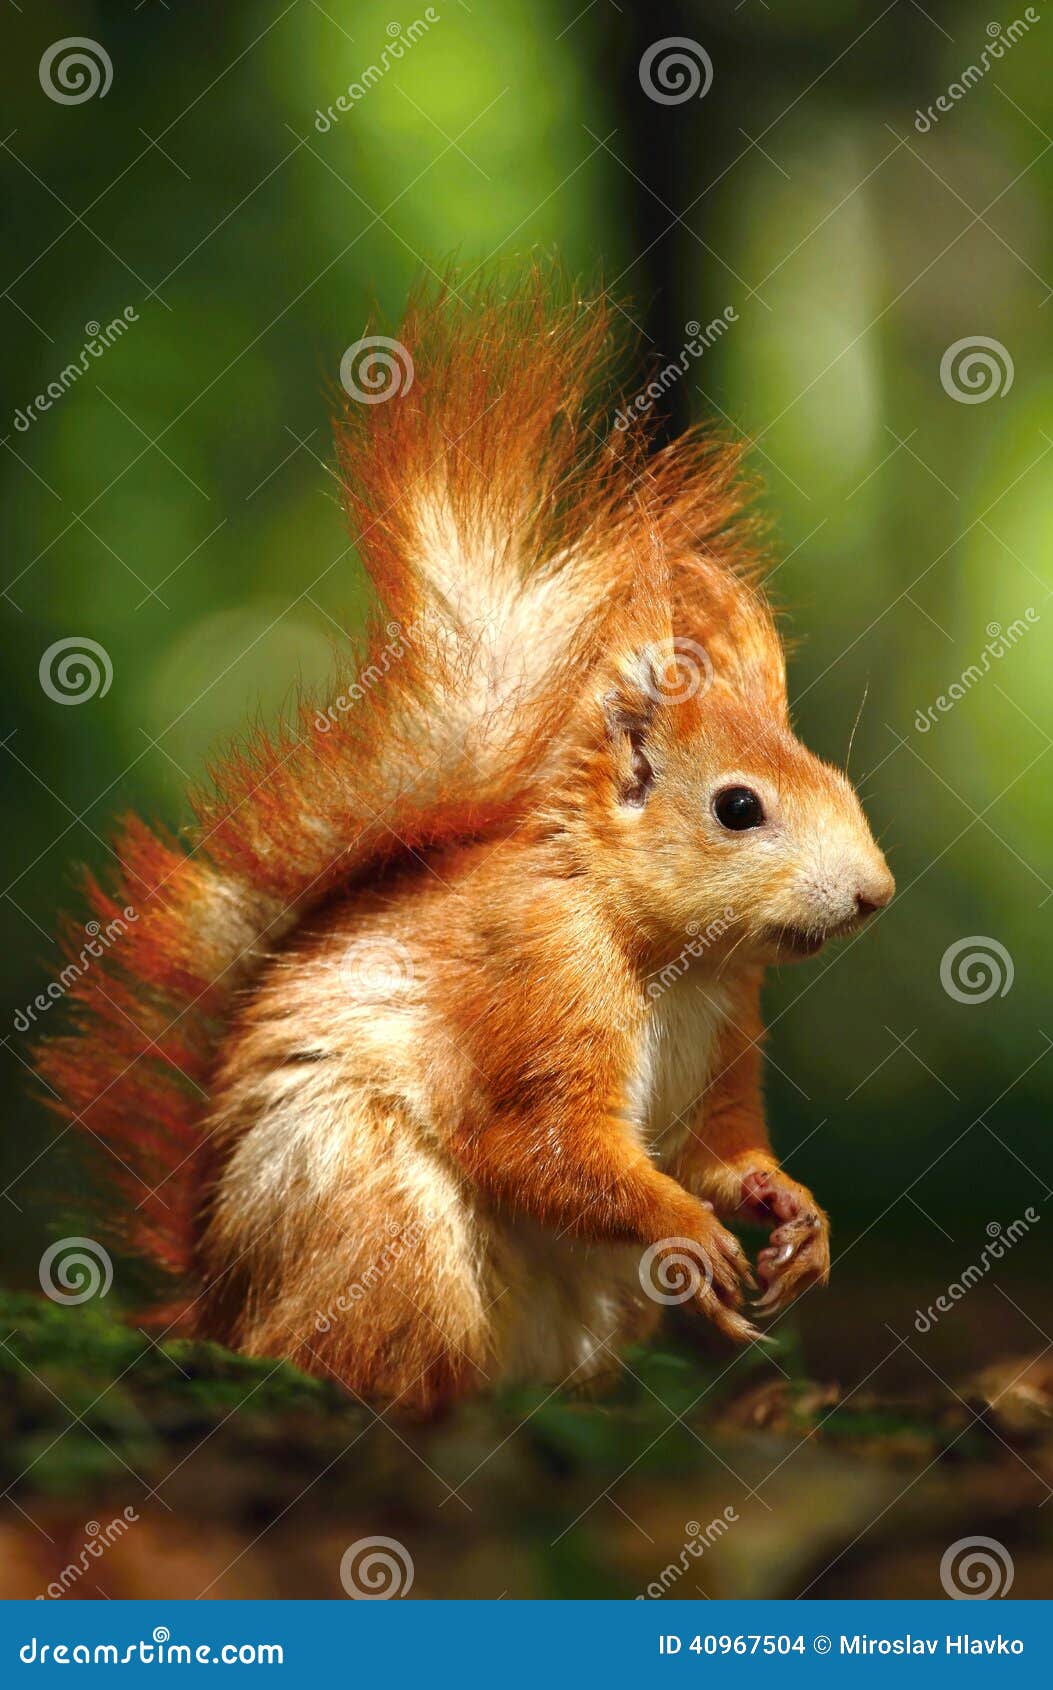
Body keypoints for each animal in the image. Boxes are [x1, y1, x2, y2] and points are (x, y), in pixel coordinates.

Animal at [36, 273, 894, 1415]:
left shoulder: (724, 1040)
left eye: (838, 783)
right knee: (359, 1351)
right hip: (377, 1217)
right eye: (738, 809)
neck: (669, 958)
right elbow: (539, 1146)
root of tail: (219, 1297)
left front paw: (794, 1215)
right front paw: (686, 1230)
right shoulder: (534, 981)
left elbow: (717, 1148)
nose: (875, 893)